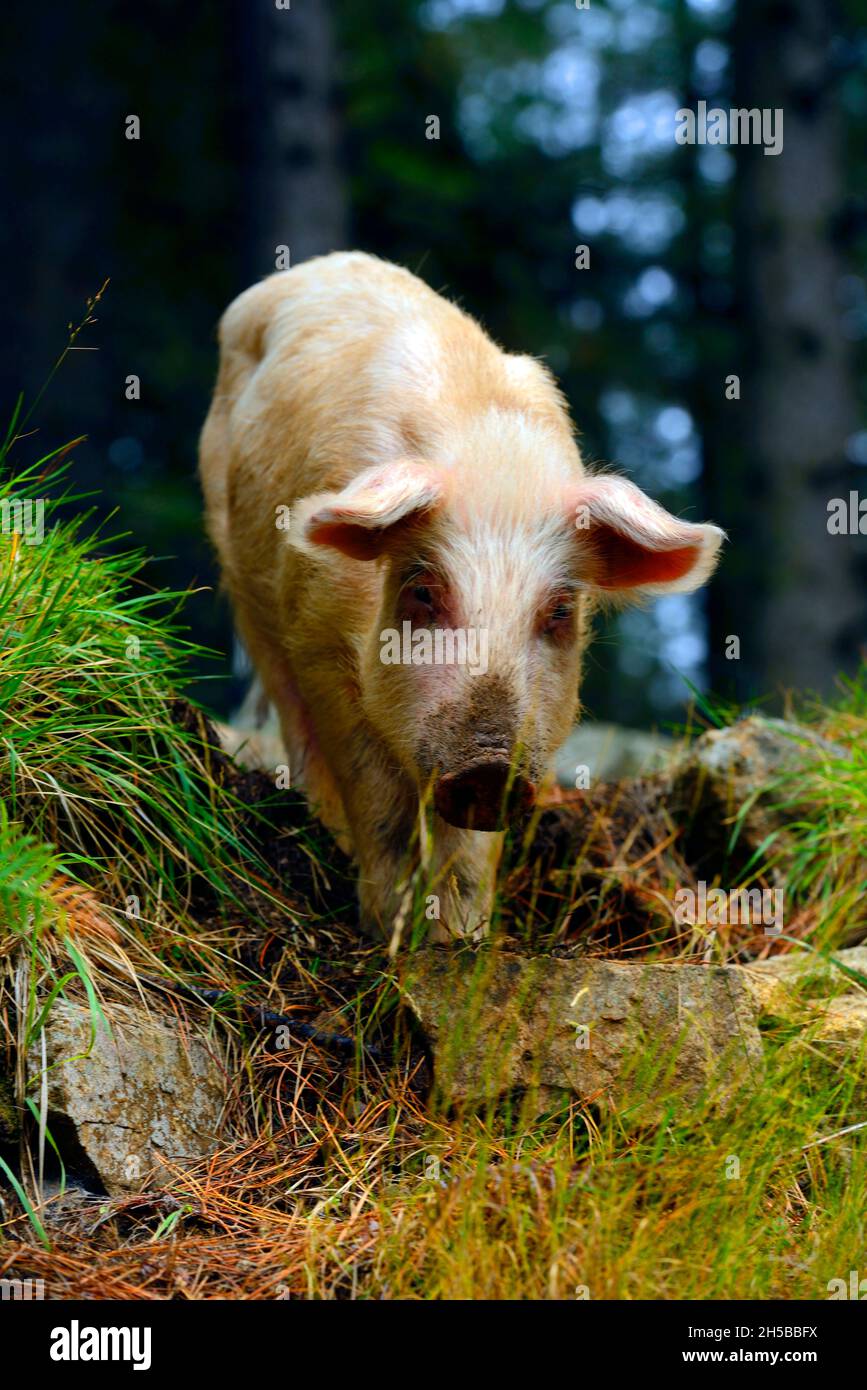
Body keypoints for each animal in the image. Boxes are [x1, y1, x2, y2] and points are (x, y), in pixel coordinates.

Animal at [199, 251, 723, 941]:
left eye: (559, 611)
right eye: (424, 592)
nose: (489, 768)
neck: (494, 468)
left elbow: (471, 851)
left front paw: (460, 938)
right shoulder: (316, 633)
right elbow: (377, 795)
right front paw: (394, 933)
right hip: (239, 569)